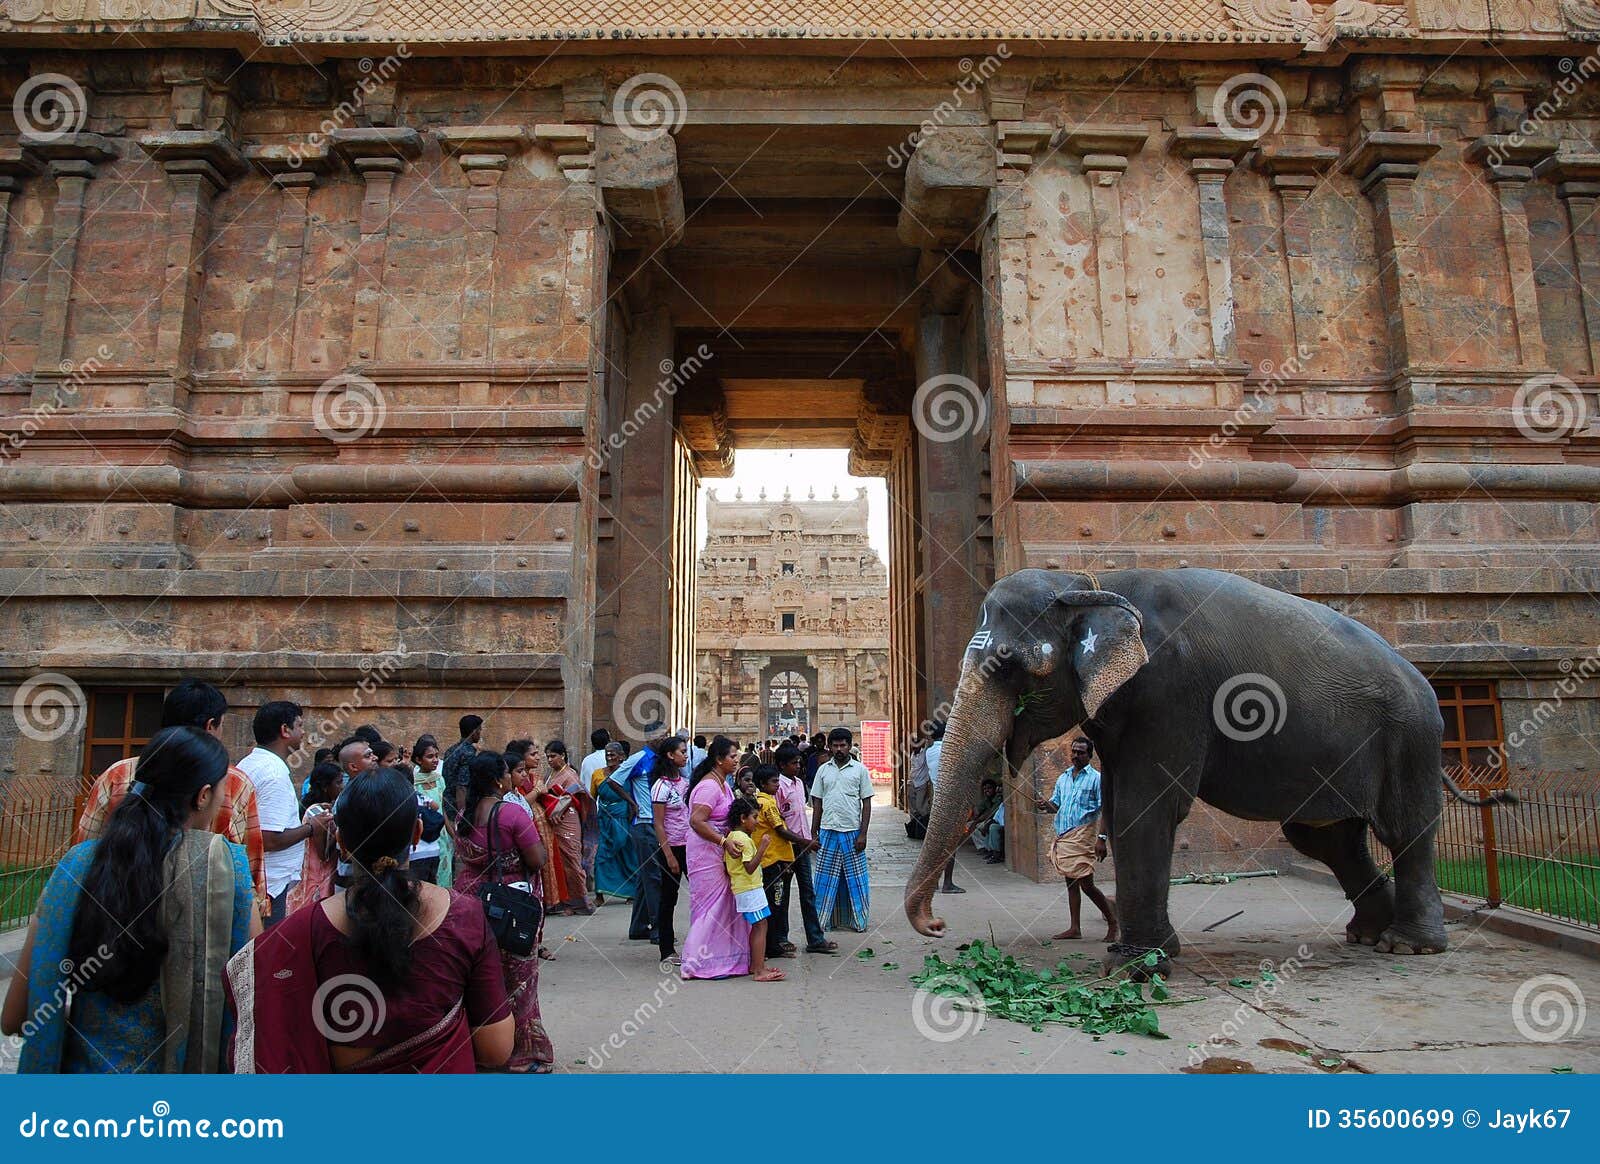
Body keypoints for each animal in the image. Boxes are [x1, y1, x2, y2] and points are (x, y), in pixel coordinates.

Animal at [904, 567, 1506, 975]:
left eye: (1008, 665)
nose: (937, 926)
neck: (1089, 581)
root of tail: (1422, 679)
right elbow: (1119, 805)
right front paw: (1144, 953)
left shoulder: (1170, 691)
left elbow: (1147, 807)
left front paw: (1135, 966)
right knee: (1327, 839)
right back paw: (1365, 934)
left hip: (1412, 738)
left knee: (1406, 830)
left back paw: (1408, 946)